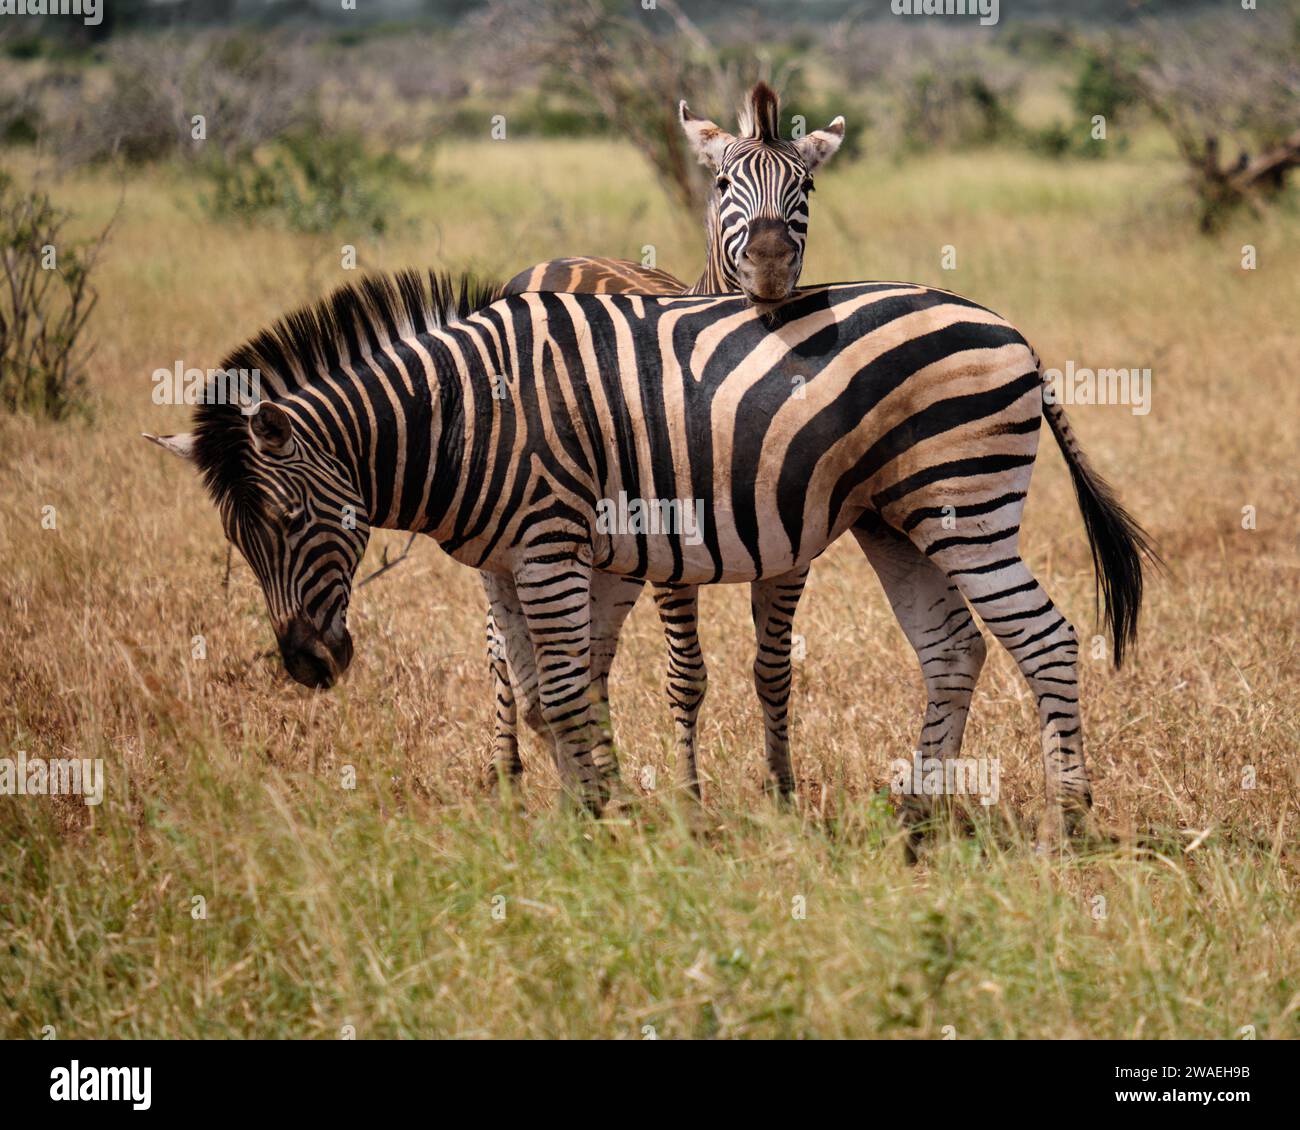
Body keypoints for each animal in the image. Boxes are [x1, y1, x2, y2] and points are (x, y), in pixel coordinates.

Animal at [144, 269, 1155, 848]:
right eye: (240, 542)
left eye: (294, 519)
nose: (308, 666)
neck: (462, 421)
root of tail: (1009, 327)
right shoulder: (505, 562)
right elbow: (541, 698)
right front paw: (574, 815)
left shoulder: (548, 540)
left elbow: (560, 692)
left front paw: (602, 820)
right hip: (896, 519)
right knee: (954, 651)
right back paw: (916, 818)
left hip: (965, 501)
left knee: (1046, 641)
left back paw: (1069, 827)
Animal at [484, 82, 846, 801]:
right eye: (724, 182)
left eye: (808, 187)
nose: (769, 263)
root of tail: (558, 262)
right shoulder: (673, 552)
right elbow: (688, 676)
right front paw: (690, 796)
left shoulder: (793, 554)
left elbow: (773, 670)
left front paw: (783, 792)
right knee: (501, 648)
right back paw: (509, 773)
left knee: (589, 663)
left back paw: (608, 783)